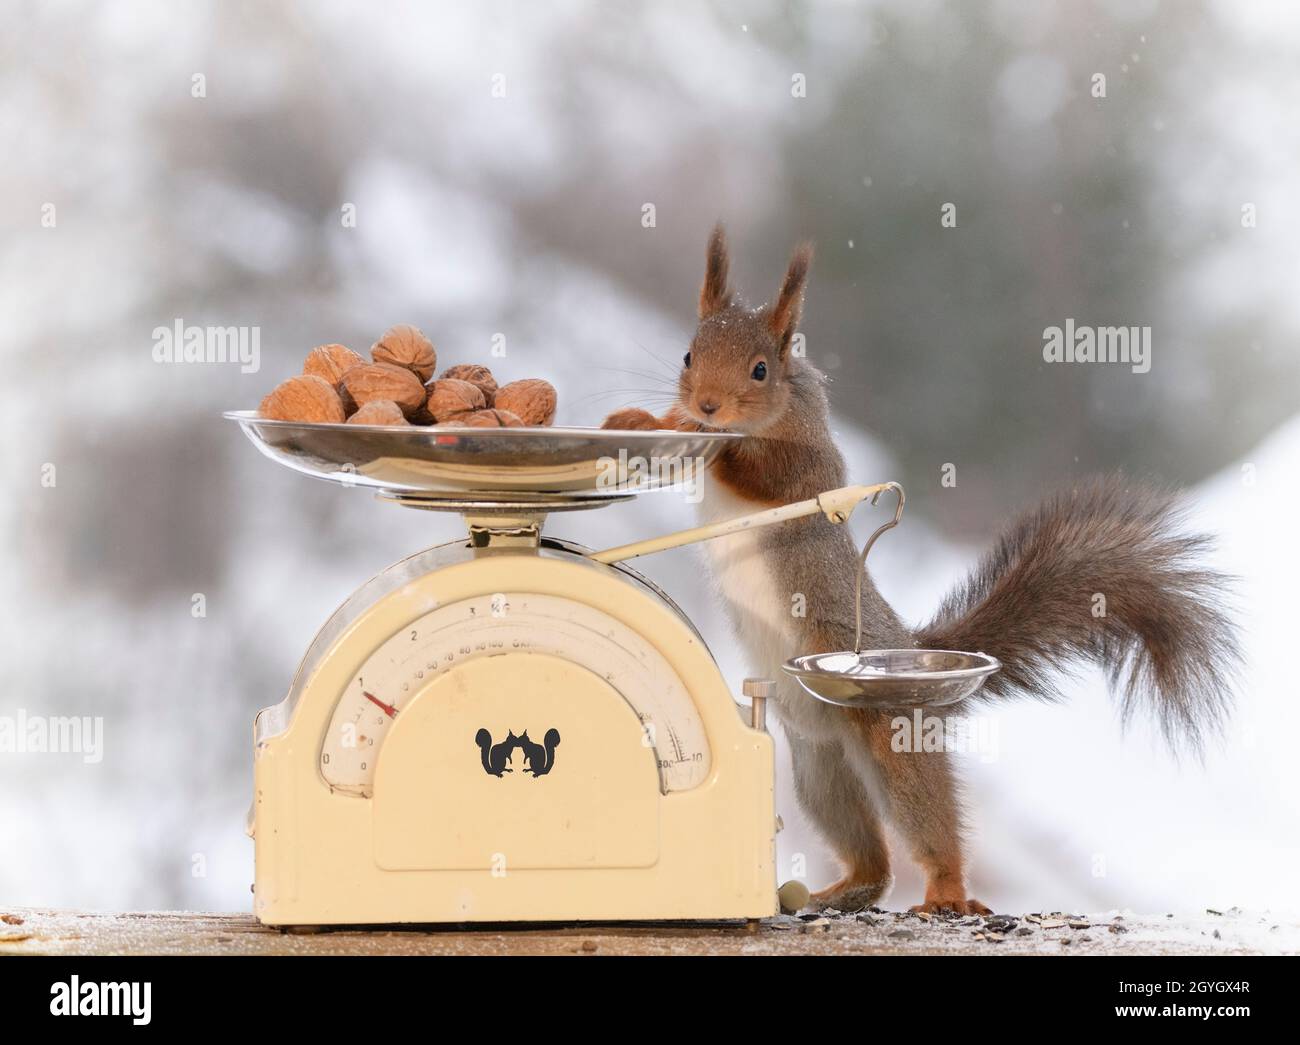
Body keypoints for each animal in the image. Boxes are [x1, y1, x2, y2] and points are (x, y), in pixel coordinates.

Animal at [602, 223, 1238, 914]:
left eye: (762, 369)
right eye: (688, 355)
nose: (709, 406)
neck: (781, 406)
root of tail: (903, 644)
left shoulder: (812, 464)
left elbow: (772, 475)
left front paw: (703, 439)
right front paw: (646, 423)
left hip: (892, 735)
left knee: (928, 819)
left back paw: (945, 891)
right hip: (816, 762)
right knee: (871, 857)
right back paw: (842, 889)